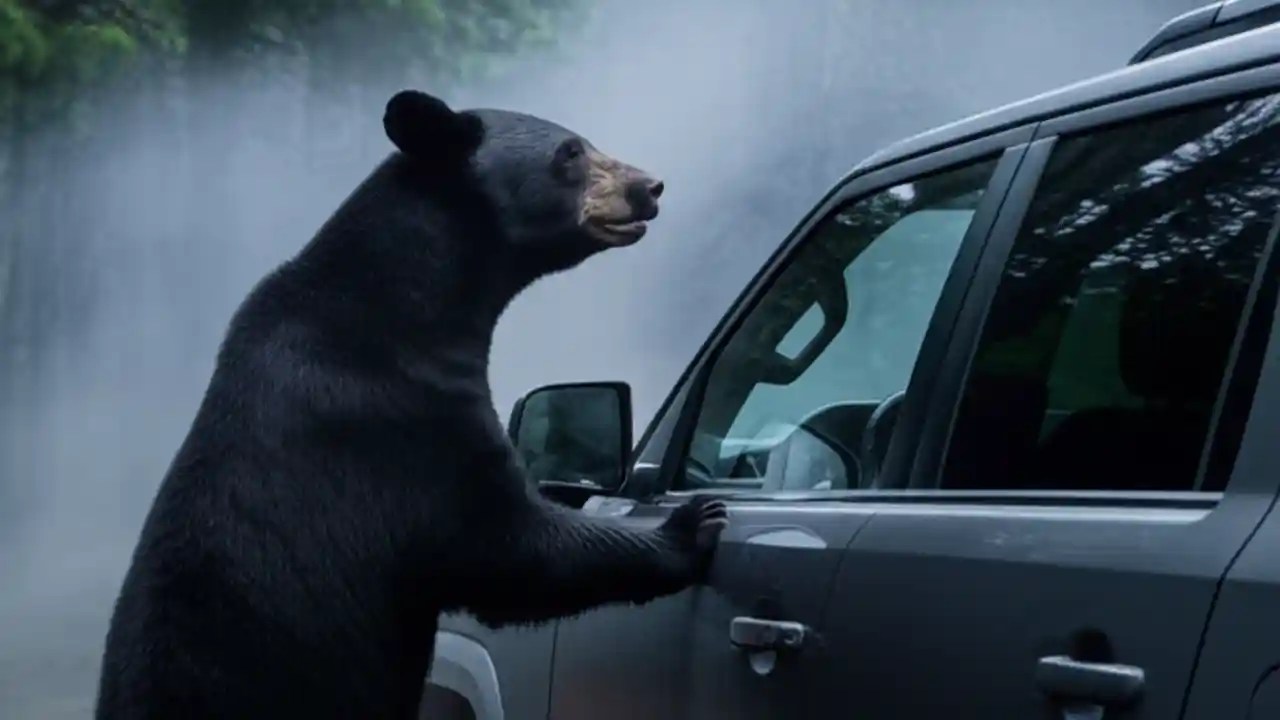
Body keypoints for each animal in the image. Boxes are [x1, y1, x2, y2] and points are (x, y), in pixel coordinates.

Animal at [94, 89, 728, 720]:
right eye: (569, 152)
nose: (650, 186)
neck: (407, 311)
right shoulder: (399, 427)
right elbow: (512, 548)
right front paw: (689, 526)